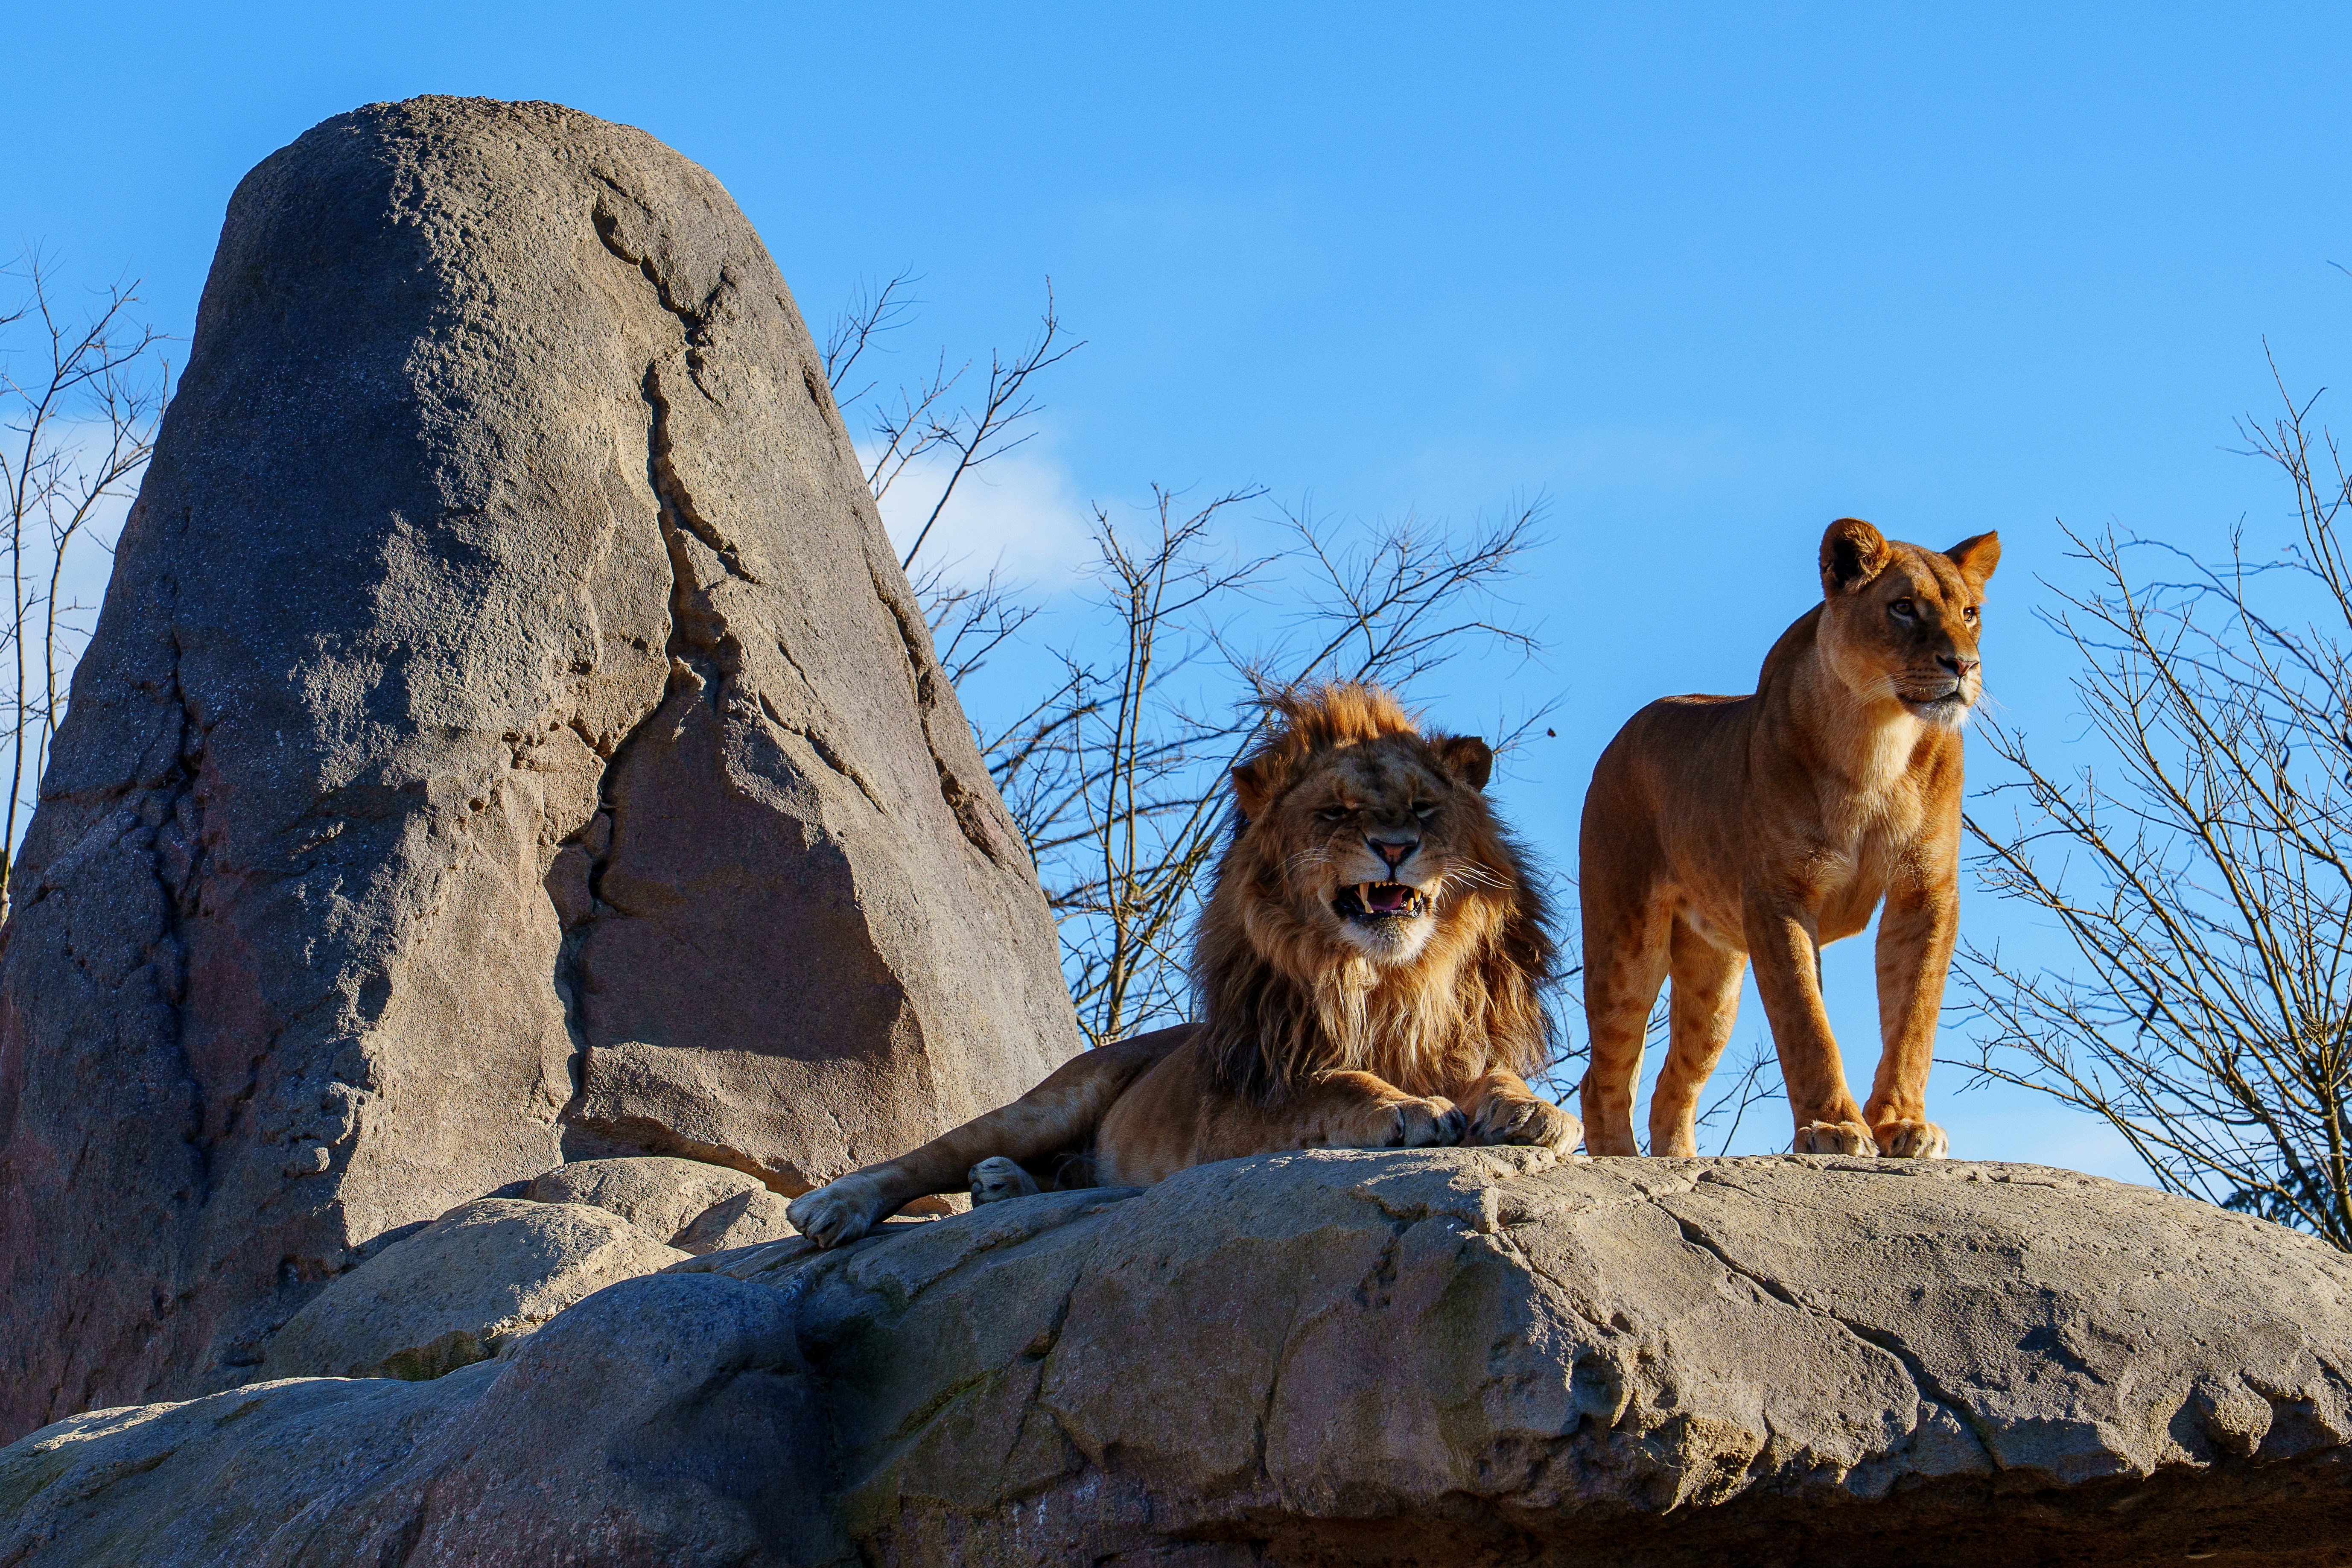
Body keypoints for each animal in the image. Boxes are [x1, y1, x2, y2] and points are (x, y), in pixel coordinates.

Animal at [786, 682, 1581, 1248]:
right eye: (1335, 812)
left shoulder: (1458, 1044)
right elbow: (1338, 1082)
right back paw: (837, 1204)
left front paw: (1534, 1111)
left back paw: (1006, 1187)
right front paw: (1411, 1107)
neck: (1386, 982)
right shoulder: (1242, 1108)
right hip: (1048, 1103)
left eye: (1422, 807)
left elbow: (1498, 1077)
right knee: (931, 1155)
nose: (1394, 847)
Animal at [1578, 518, 1999, 1160]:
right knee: (1603, 1074)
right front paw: (1832, 1128)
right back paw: (1621, 1160)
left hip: (1713, 980)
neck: (1876, 739)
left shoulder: (1924, 892)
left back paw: (1678, 1159)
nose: (1963, 666)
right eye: (1902, 608)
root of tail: (1619, 738)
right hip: (1624, 945)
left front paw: (1903, 1124)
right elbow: (1806, 1020)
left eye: (1970, 612)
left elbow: (1913, 1014)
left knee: (1671, 1082)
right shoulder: (1778, 897)